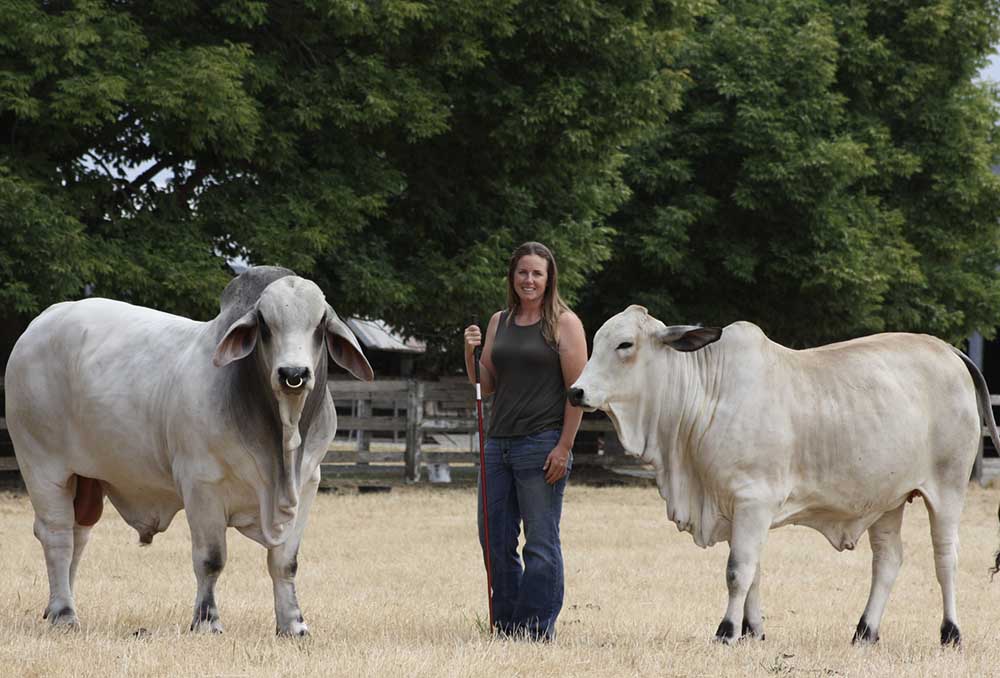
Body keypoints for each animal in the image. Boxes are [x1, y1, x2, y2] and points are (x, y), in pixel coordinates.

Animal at [4, 266, 373, 635]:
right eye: (265, 326)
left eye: (320, 325)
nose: (293, 374)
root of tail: (43, 321)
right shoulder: (202, 487)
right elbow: (211, 560)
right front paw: (207, 621)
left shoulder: (307, 484)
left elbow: (285, 563)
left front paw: (293, 625)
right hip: (43, 467)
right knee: (57, 536)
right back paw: (64, 613)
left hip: (86, 479)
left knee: (78, 537)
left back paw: (56, 606)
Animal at [567, 305, 1000, 646]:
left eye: (625, 345)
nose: (576, 391)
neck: (705, 395)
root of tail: (946, 349)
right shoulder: (737, 509)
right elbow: (753, 570)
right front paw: (753, 631)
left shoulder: (752, 501)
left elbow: (738, 571)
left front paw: (727, 632)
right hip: (887, 500)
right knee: (888, 560)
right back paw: (865, 632)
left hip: (947, 490)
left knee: (946, 558)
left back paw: (950, 632)